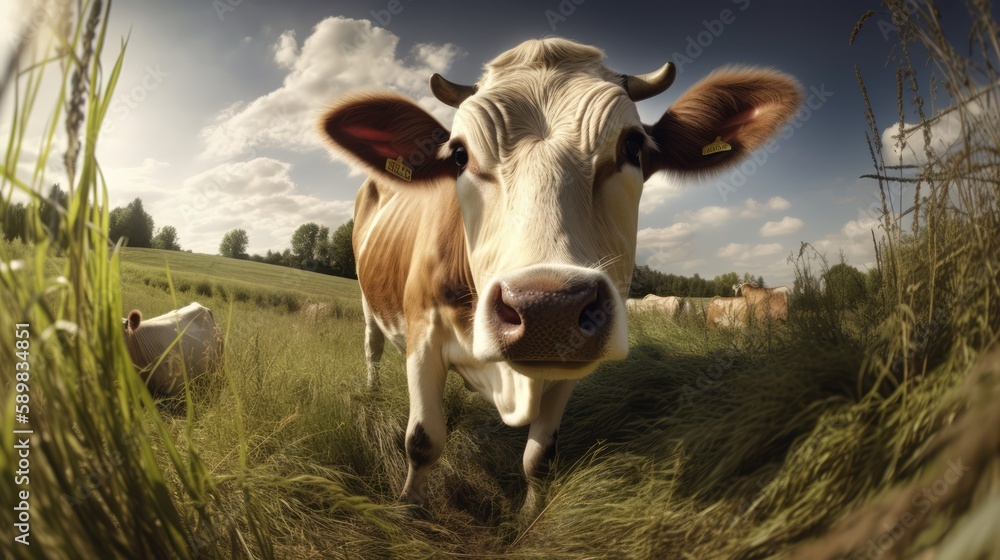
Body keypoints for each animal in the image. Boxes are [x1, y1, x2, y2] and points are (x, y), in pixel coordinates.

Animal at [318, 37, 801, 510]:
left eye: (632, 146)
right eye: (458, 154)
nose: (548, 308)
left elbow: (539, 459)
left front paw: (531, 516)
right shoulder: (423, 336)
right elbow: (422, 442)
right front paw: (410, 511)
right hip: (369, 303)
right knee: (372, 349)